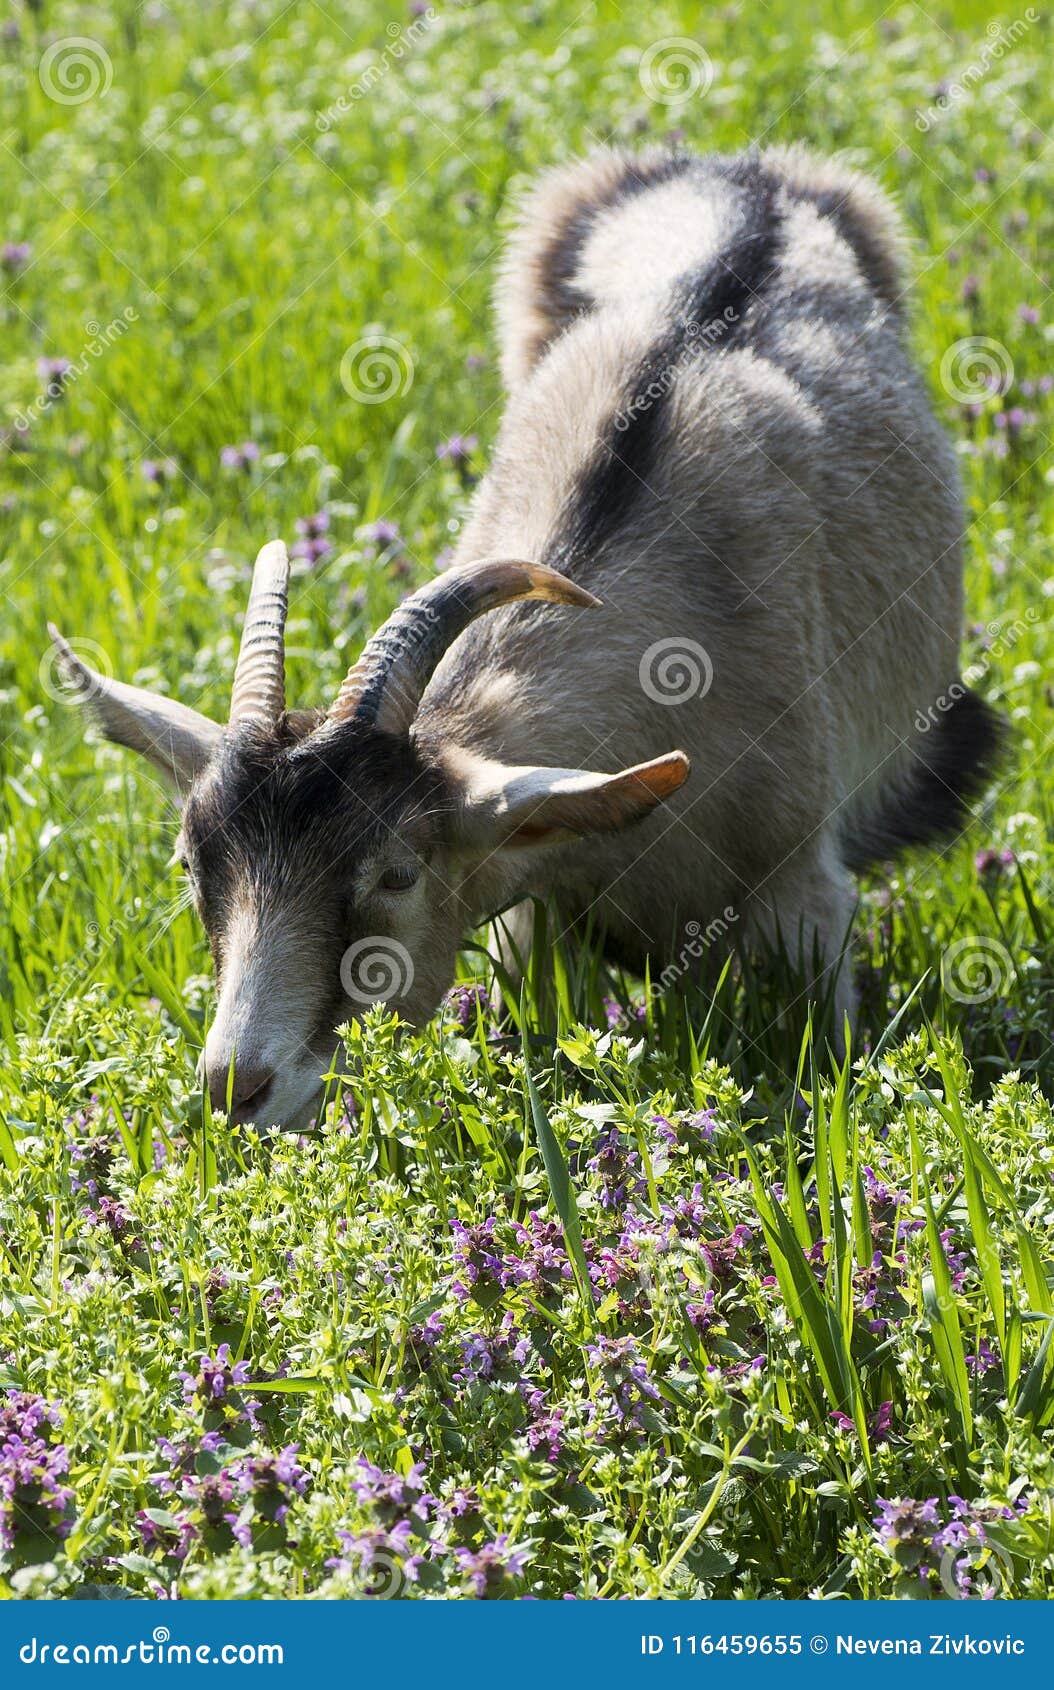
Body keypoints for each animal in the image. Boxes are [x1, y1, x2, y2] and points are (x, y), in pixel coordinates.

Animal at [49, 144, 1000, 1128]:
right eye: (191, 863)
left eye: (398, 874)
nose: (238, 1090)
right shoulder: (528, 919)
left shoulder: (804, 892)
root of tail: (739, 170)